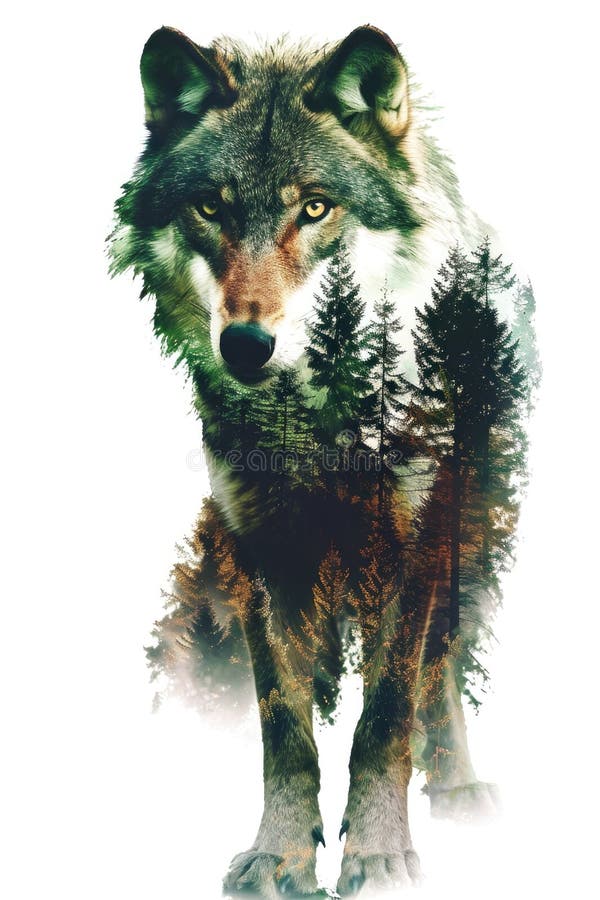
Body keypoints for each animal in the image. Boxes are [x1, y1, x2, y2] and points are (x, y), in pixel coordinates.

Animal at [109, 24, 509, 897]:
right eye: (212, 206)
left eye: (315, 207)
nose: (245, 344)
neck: (312, 426)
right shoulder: (261, 550)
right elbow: (284, 727)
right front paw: (281, 854)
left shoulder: (411, 544)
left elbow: (387, 712)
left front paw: (381, 855)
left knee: (440, 661)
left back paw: (461, 786)